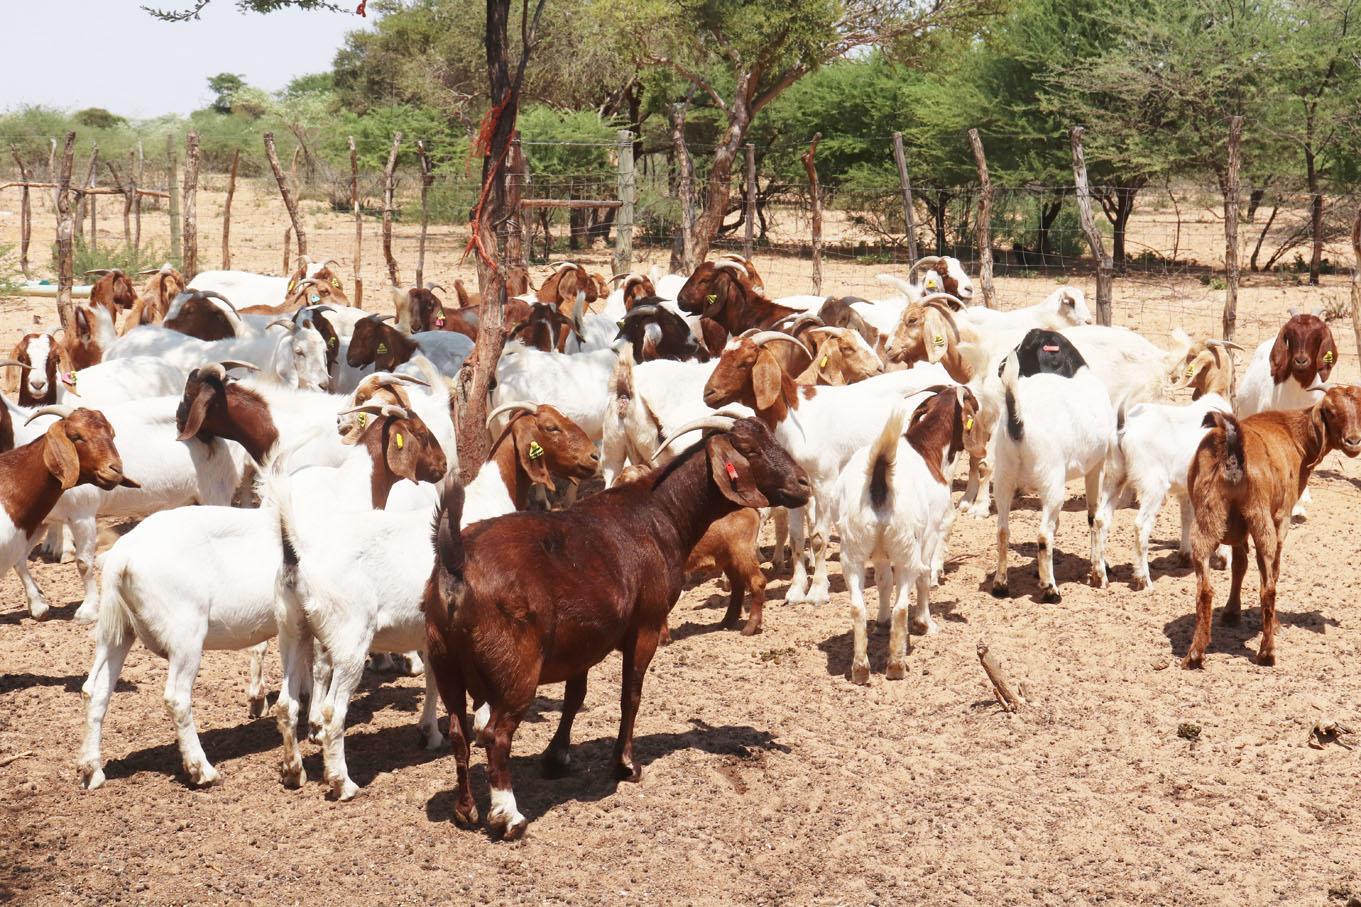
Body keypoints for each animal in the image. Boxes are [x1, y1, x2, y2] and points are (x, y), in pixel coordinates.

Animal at [422, 414, 810, 839]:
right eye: (750, 449)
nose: (804, 484)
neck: (660, 512)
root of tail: (456, 561)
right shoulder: (646, 625)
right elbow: (631, 695)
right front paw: (626, 764)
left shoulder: (582, 640)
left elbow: (576, 697)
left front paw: (557, 757)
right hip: (515, 669)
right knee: (496, 734)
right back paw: (508, 817)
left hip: (444, 661)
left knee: (458, 732)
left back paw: (466, 809)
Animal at [835, 386, 985, 683]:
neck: (925, 447)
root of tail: (880, 474)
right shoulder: (932, 535)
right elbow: (926, 577)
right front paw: (924, 623)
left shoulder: (881, 554)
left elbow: (883, 581)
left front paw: (881, 622)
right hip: (906, 549)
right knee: (902, 604)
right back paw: (896, 665)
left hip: (853, 551)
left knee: (857, 606)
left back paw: (860, 668)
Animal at [990, 329, 1116, 603]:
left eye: (1025, 346)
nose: (1001, 367)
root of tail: (1018, 420)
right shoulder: (1096, 466)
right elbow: (1094, 517)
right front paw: (1099, 573)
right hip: (1052, 482)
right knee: (1042, 534)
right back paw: (1051, 590)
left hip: (1004, 478)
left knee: (1003, 530)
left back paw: (1001, 584)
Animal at [1182, 385, 1361, 668]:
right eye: (1331, 412)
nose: (1353, 442)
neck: (1295, 436)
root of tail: (1233, 450)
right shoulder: (1281, 516)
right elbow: (1271, 569)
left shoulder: (1239, 527)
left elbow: (1240, 565)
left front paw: (1231, 613)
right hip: (1261, 517)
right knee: (1268, 586)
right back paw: (1267, 651)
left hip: (1208, 515)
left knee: (1205, 588)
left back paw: (1196, 653)